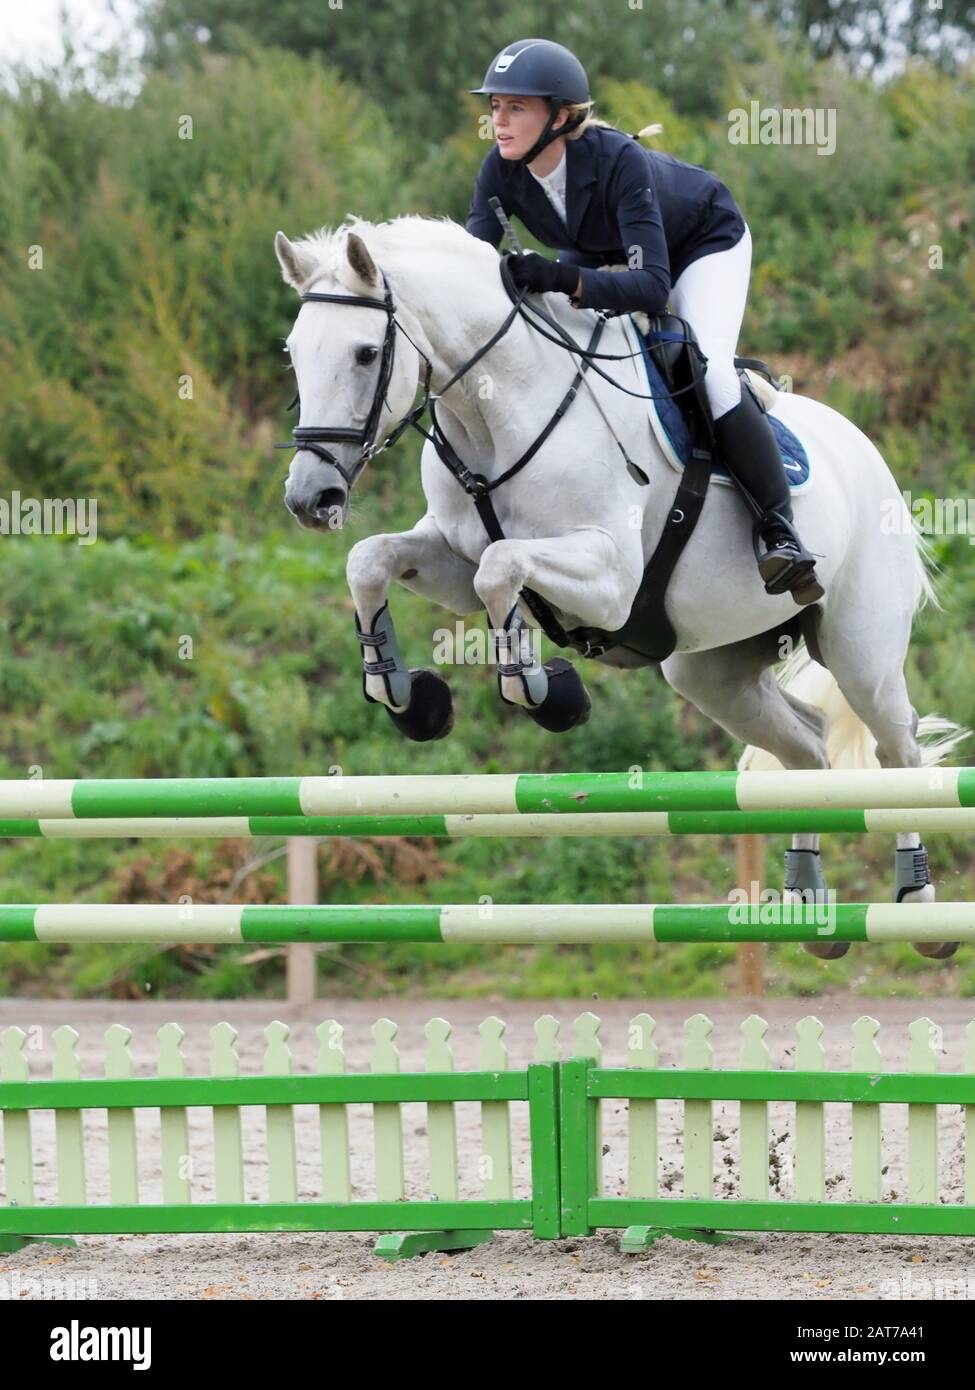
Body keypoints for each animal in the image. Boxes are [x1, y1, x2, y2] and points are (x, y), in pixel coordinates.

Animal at [273, 214, 967, 956]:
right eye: (295, 354)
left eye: (366, 353)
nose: (310, 498)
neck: (495, 411)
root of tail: (863, 448)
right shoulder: (451, 561)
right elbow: (373, 561)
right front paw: (406, 697)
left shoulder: (609, 581)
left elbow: (502, 570)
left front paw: (545, 692)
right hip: (710, 673)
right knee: (808, 750)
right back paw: (807, 905)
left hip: (859, 651)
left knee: (897, 750)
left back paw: (918, 904)